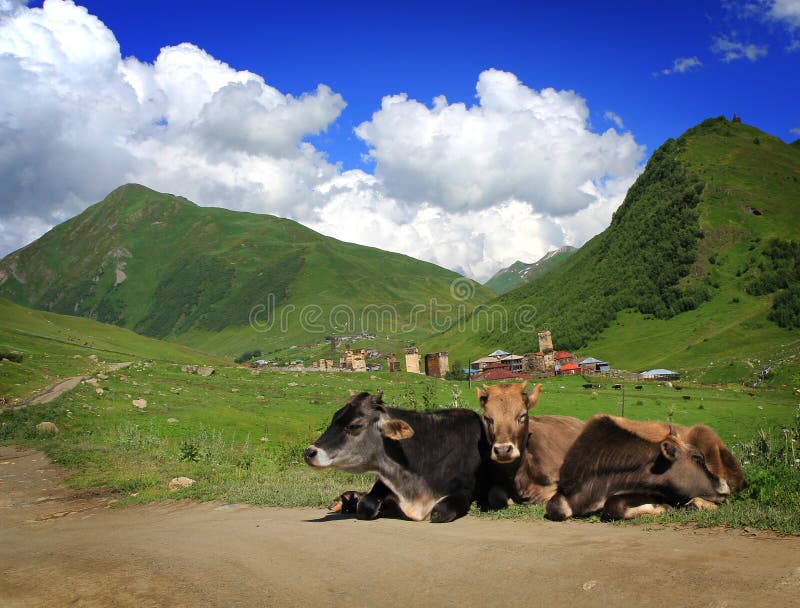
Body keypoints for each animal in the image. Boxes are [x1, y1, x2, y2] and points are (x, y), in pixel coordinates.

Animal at [304, 390, 491, 523]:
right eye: (334, 417)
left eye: (354, 425)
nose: (309, 452)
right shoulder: (382, 482)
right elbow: (365, 505)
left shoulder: (464, 491)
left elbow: (439, 512)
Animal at [545, 414, 740, 521]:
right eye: (697, 458)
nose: (723, 484)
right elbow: (552, 507)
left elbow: (612, 505)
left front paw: (661, 508)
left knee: (726, 502)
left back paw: (697, 504)